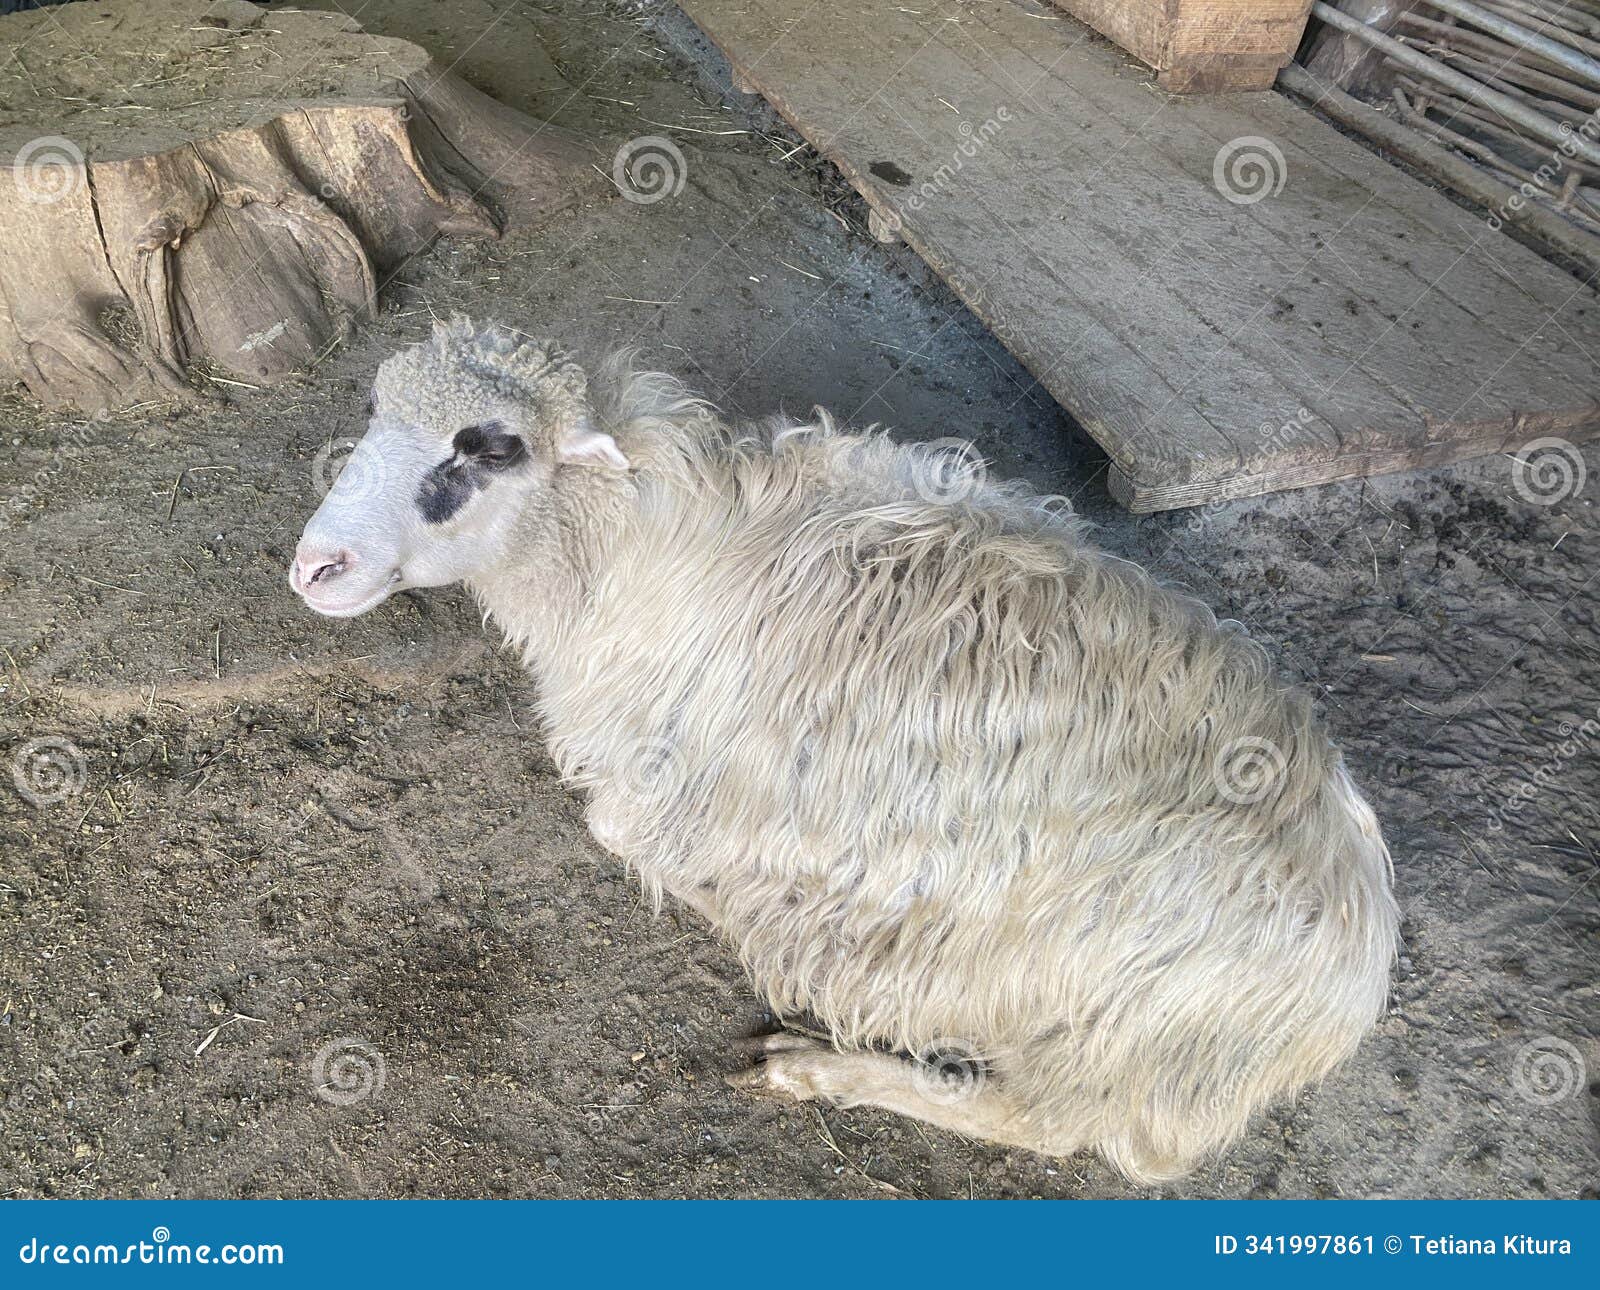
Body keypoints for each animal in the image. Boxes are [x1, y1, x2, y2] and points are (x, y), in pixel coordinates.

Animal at [290, 317, 1399, 1182]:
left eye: (492, 449)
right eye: (377, 409)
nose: (315, 567)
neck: (641, 552)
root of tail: (1358, 964)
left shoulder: (685, 772)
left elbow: (621, 830)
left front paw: (751, 915)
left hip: (1088, 1022)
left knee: (1042, 1121)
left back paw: (822, 1060)